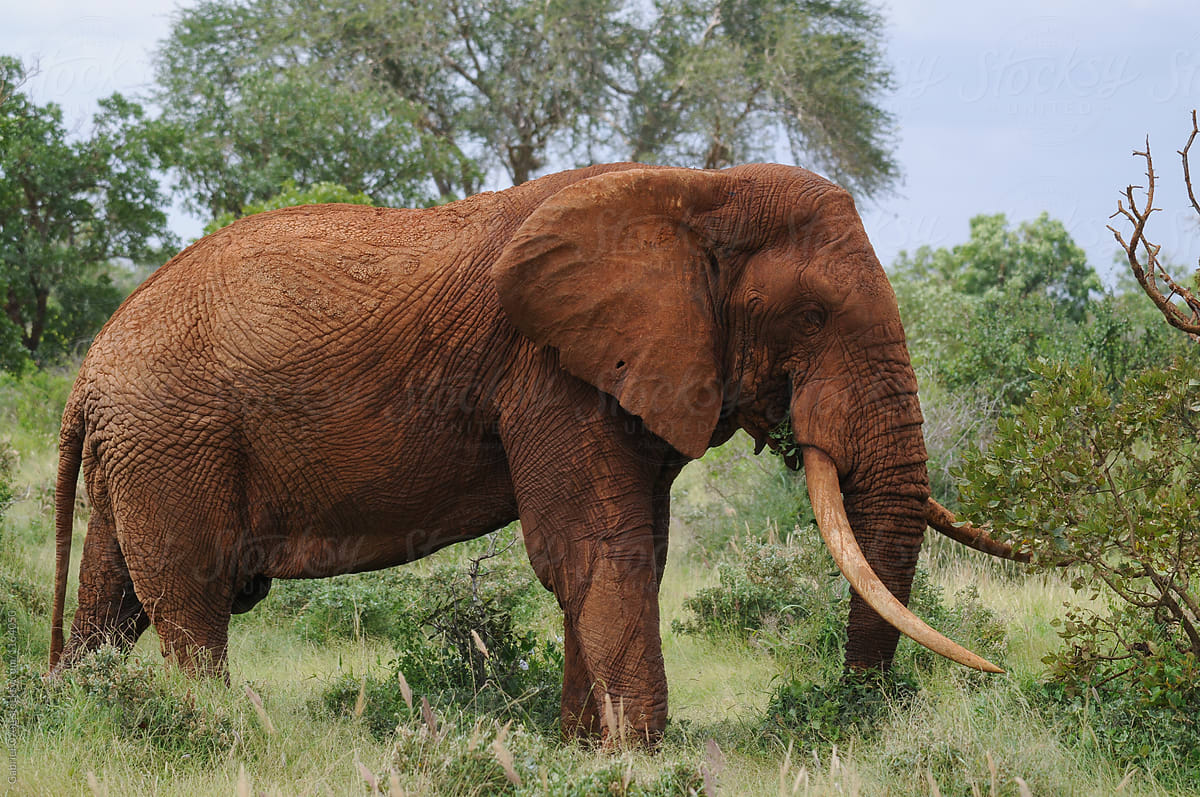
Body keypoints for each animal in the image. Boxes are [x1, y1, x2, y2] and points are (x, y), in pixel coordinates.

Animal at [49, 162, 1024, 743]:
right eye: (814, 317)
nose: (858, 713)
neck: (699, 190)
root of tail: (88, 366)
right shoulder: (551, 373)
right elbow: (597, 552)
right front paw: (640, 759)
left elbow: (624, 556)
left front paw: (585, 751)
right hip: (174, 434)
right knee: (192, 597)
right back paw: (220, 733)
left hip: (143, 445)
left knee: (112, 597)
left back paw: (77, 709)